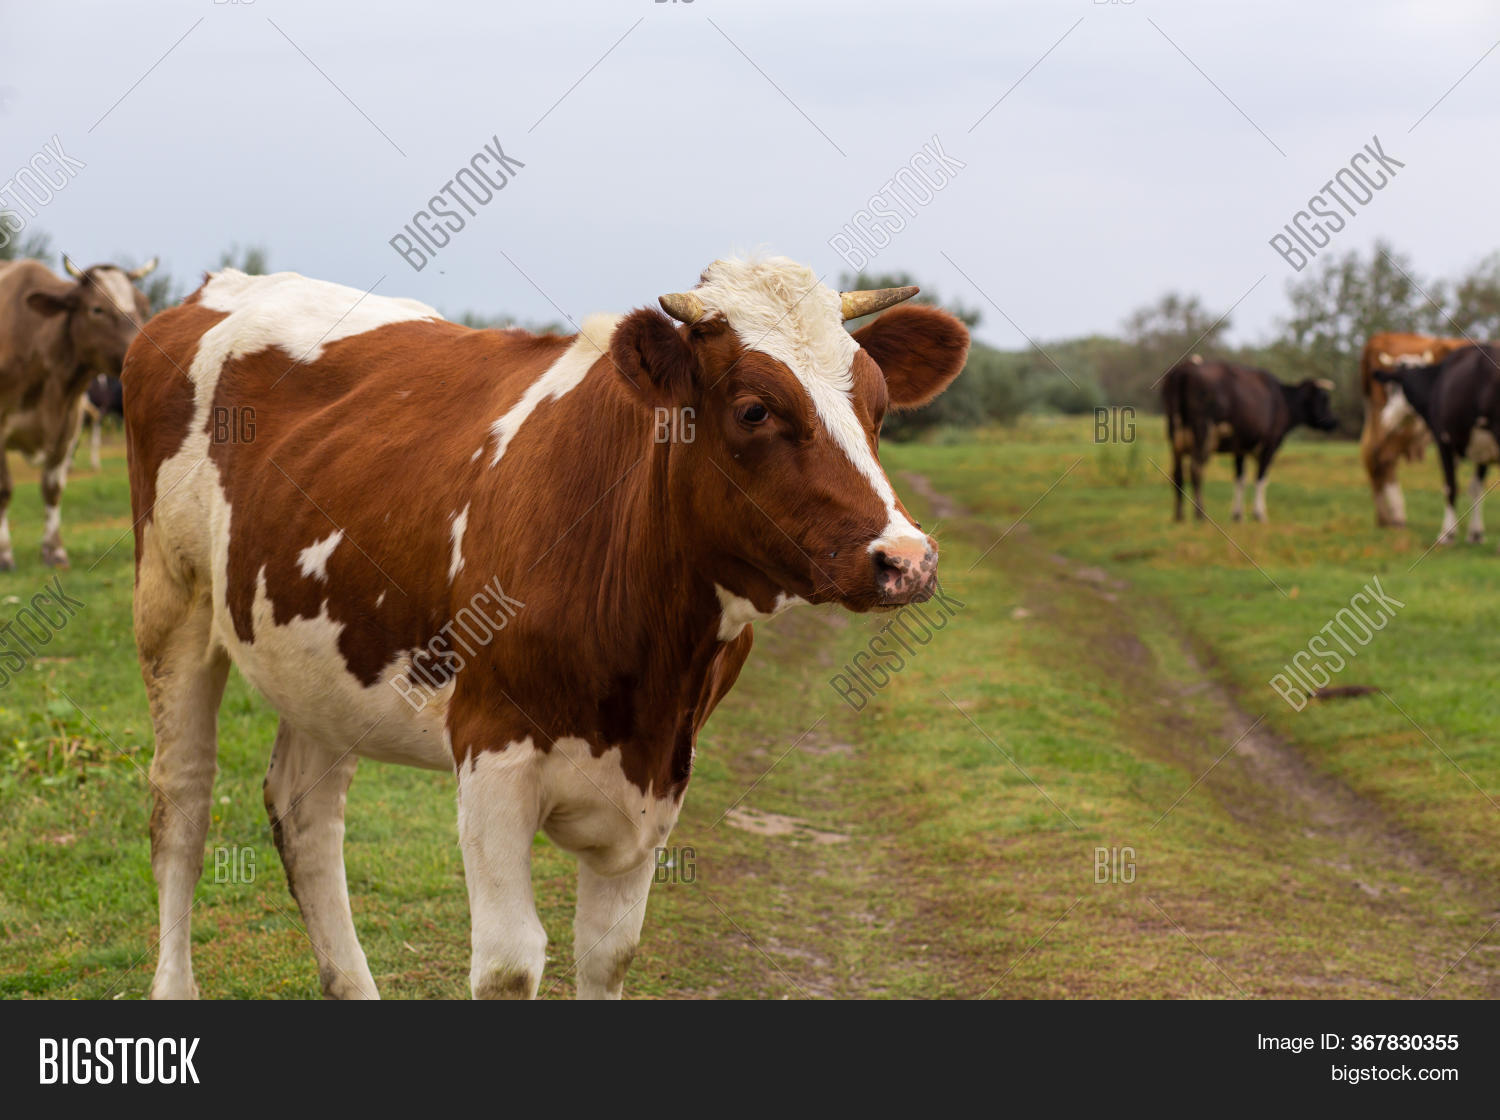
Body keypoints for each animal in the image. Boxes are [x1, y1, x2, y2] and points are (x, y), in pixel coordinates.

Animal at [0, 255, 156, 567]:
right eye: (97, 308)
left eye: (143, 306)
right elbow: (4, 489)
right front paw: (4, 553)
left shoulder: (68, 426)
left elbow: (52, 488)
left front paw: (54, 551)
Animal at [122, 256, 969, 1000]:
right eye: (756, 409)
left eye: (880, 406)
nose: (907, 558)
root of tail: (215, 287)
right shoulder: (492, 752)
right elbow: (509, 963)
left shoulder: (662, 774)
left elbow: (608, 953)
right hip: (171, 601)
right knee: (181, 806)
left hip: (319, 661)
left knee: (306, 816)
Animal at [1163, 356, 1338, 523]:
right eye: (1324, 399)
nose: (1334, 421)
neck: (1283, 400)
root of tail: (1186, 368)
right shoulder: (1270, 445)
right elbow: (1261, 478)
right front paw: (1259, 514)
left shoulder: (1240, 448)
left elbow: (1240, 479)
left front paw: (1237, 515)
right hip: (1203, 433)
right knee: (1196, 469)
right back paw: (1200, 514)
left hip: (1176, 437)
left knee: (1177, 473)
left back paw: (1179, 516)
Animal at [1372, 344, 1500, 547]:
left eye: (1392, 389)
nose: (1385, 417)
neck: (1436, 383)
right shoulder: (1481, 451)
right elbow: (1476, 489)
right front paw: (1475, 534)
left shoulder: (1443, 442)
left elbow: (1450, 486)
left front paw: (1447, 534)